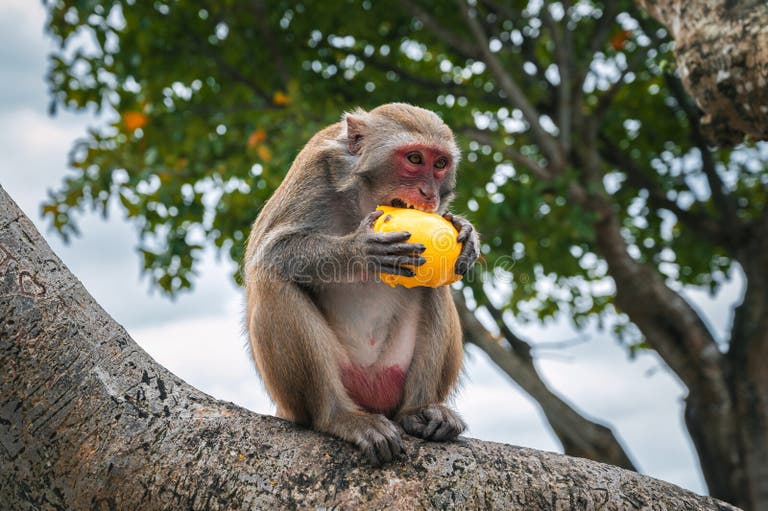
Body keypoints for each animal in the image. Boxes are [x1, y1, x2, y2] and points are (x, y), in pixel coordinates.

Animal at [244, 103, 480, 465]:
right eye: (414, 159)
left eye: (440, 164)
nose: (428, 193)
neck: (362, 201)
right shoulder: (314, 173)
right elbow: (268, 252)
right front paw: (359, 250)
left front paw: (466, 230)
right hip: (321, 388)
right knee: (272, 278)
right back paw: (339, 416)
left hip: (390, 375)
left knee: (433, 287)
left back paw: (420, 411)